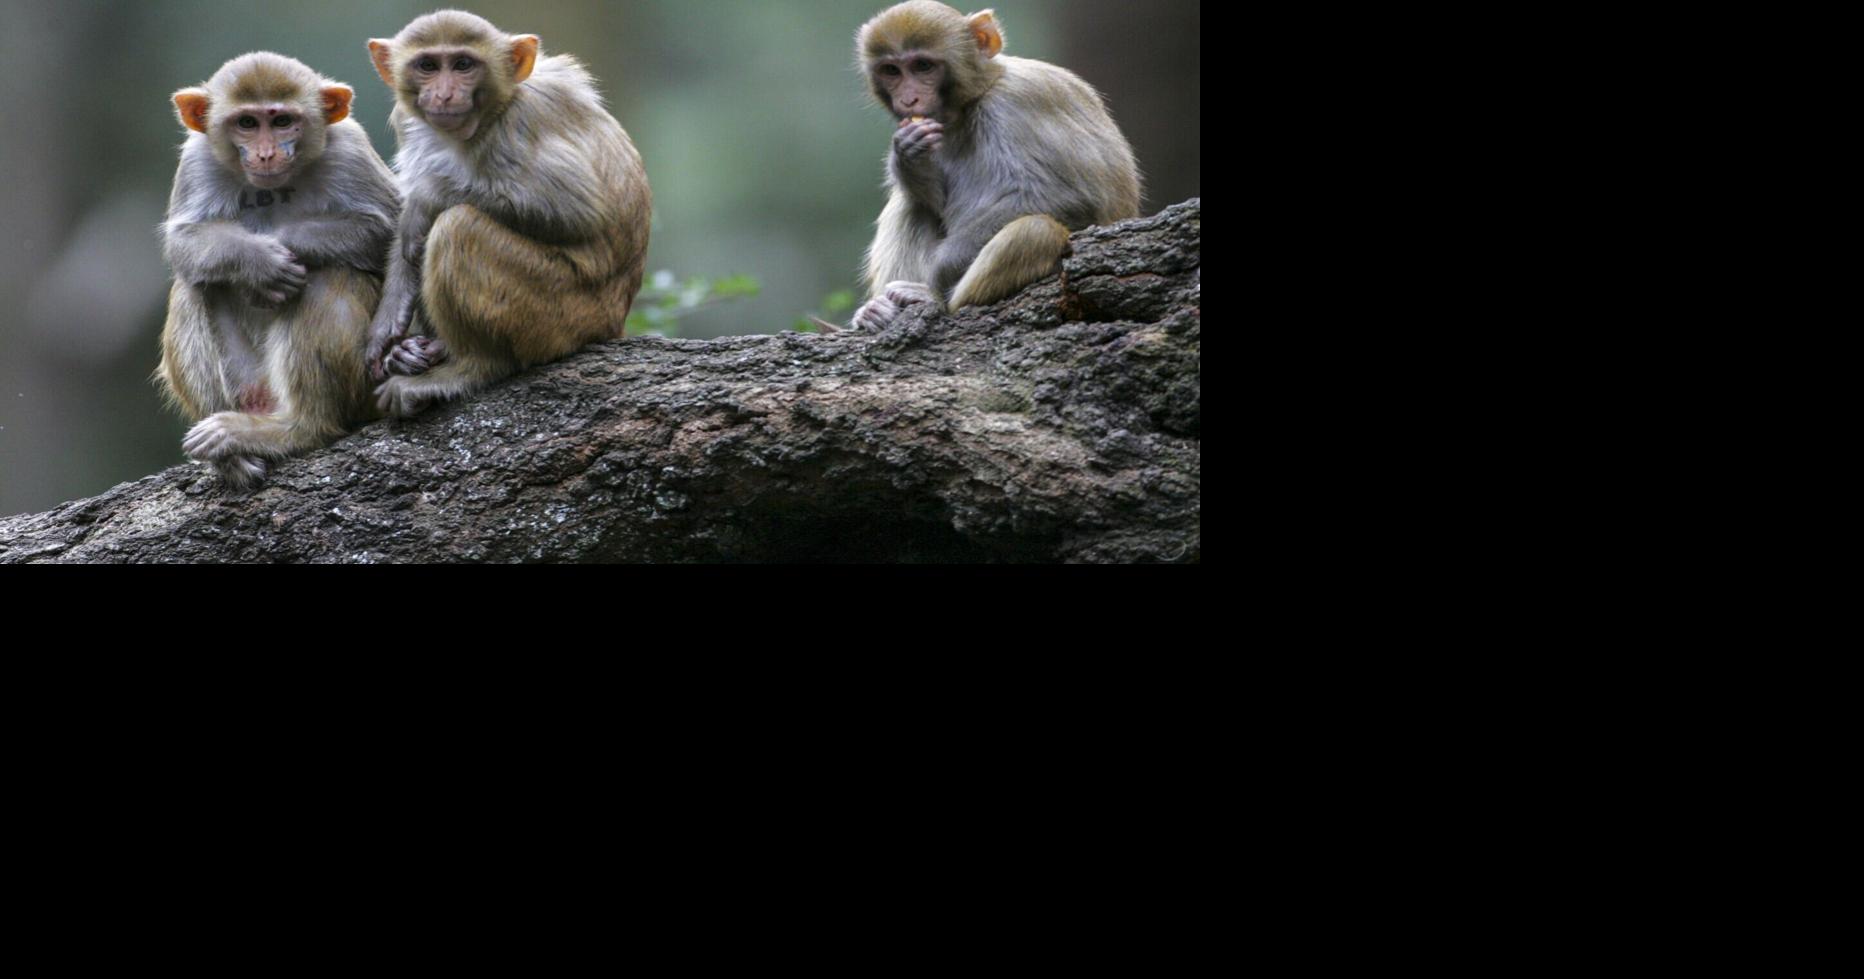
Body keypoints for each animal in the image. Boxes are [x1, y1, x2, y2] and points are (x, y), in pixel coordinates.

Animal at [158, 52, 400, 489]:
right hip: (248, 382)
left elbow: (384, 230)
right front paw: (257, 262)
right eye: (247, 123)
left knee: (326, 274)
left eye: (283, 120)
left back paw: (296, 429)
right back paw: (232, 458)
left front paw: (279, 248)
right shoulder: (197, 160)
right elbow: (184, 240)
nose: (267, 153)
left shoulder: (350, 152)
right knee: (193, 284)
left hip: (362, 387)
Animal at [364, 10, 652, 419]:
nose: (444, 94)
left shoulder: (519, 125)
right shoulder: (408, 121)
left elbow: (574, 209)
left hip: (560, 313)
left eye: (463, 64)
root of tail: (614, 321)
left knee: (458, 228)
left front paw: (425, 201)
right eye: (428, 66)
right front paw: (388, 327)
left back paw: (470, 369)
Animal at [850, 2, 1141, 331]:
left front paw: (936, 277)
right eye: (891, 71)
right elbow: (934, 202)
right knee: (911, 205)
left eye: (922, 66)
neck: (976, 98)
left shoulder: (1016, 104)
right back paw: (879, 312)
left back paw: (935, 299)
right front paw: (908, 156)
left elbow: (1068, 198)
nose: (909, 100)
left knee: (1036, 230)